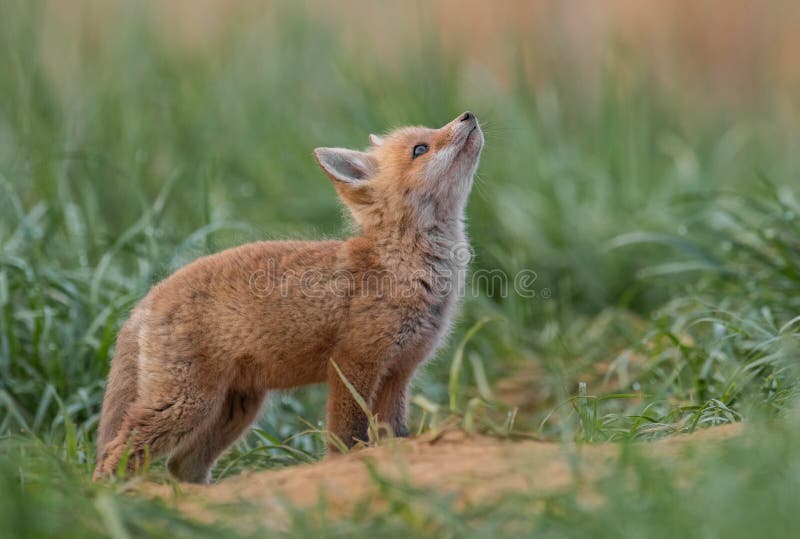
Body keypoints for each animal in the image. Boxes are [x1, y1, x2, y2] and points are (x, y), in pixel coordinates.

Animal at [93, 111, 484, 483]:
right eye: (420, 149)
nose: (468, 116)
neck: (405, 266)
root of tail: (150, 294)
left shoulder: (399, 373)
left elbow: (395, 435)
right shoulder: (353, 363)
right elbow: (347, 438)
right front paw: (347, 467)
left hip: (236, 408)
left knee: (182, 465)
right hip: (184, 405)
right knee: (117, 450)